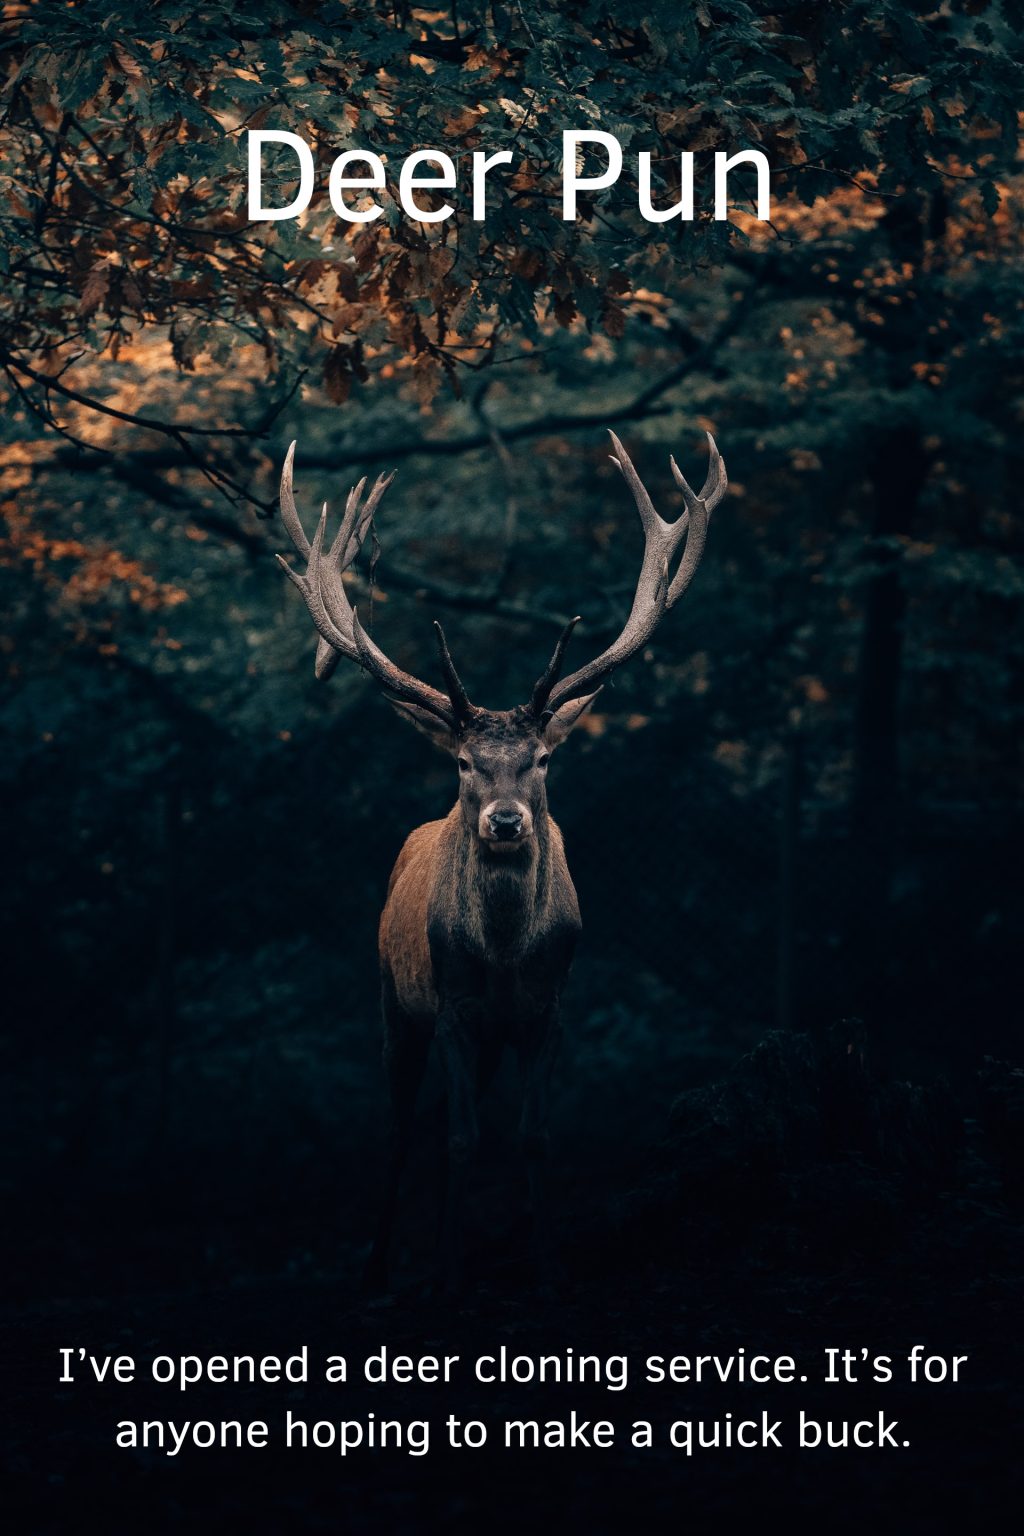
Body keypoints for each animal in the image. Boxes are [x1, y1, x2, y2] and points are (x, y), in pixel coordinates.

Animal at [276, 429, 726, 1291]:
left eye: (543, 759)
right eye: (463, 762)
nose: (506, 821)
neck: (510, 955)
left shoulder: (549, 1012)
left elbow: (530, 1136)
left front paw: (541, 1263)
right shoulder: (453, 1007)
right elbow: (459, 1138)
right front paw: (447, 1271)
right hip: (393, 1001)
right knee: (402, 1127)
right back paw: (381, 1269)